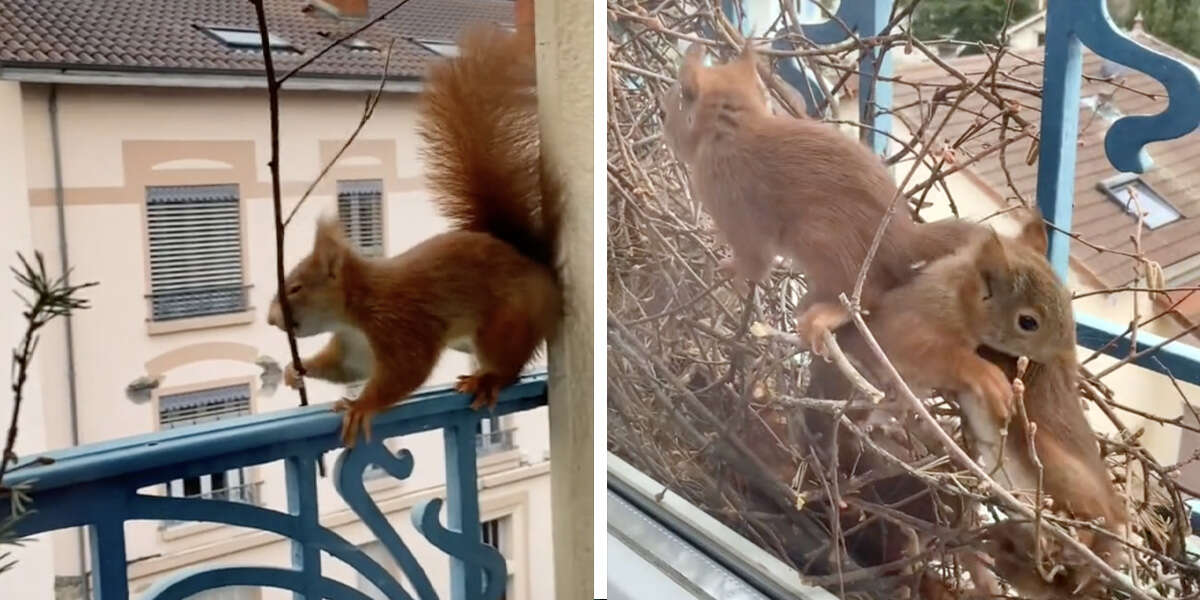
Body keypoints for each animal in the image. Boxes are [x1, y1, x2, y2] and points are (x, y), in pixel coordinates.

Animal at [266, 24, 562, 447]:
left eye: (295, 288)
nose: (271, 319)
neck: (354, 310)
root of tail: (533, 264)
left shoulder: (397, 325)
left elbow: (408, 369)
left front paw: (361, 406)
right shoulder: (354, 347)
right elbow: (344, 368)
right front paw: (298, 369)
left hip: (504, 323)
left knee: (509, 363)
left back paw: (487, 379)